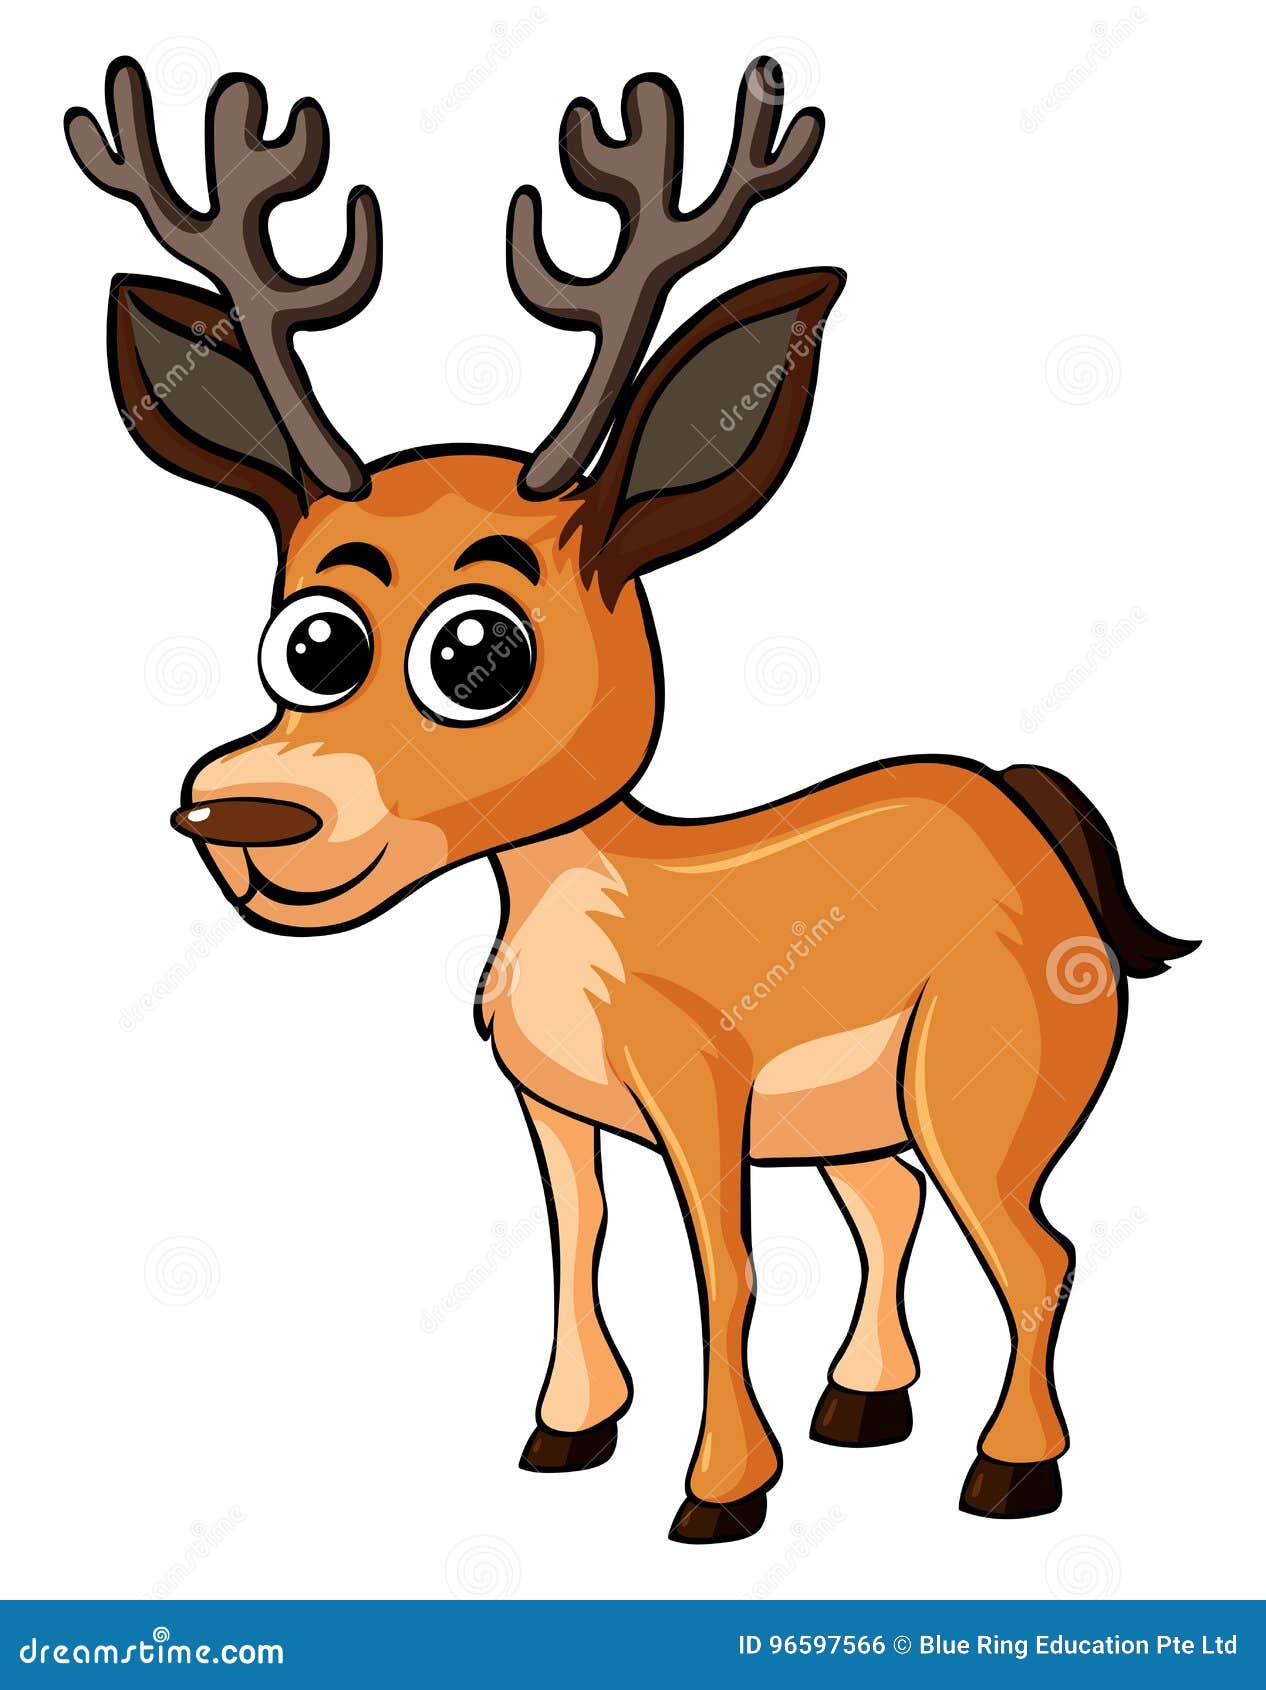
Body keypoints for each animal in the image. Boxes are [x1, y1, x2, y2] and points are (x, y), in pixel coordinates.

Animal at [66, 55, 1195, 1545]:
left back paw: (1010, 1470)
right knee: (891, 1209)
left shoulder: (699, 1090)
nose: (244, 817)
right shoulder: (549, 1106)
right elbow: (580, 1239)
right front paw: (567, 1431)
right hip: (853, 1118)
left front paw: (720, 1493)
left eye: (477, 652)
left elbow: (723, 1263)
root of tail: (1022, 809)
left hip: (981, 1088)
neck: (588, 916)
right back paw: (864, 1404)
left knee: (1034, 1247)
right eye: (308, 640)